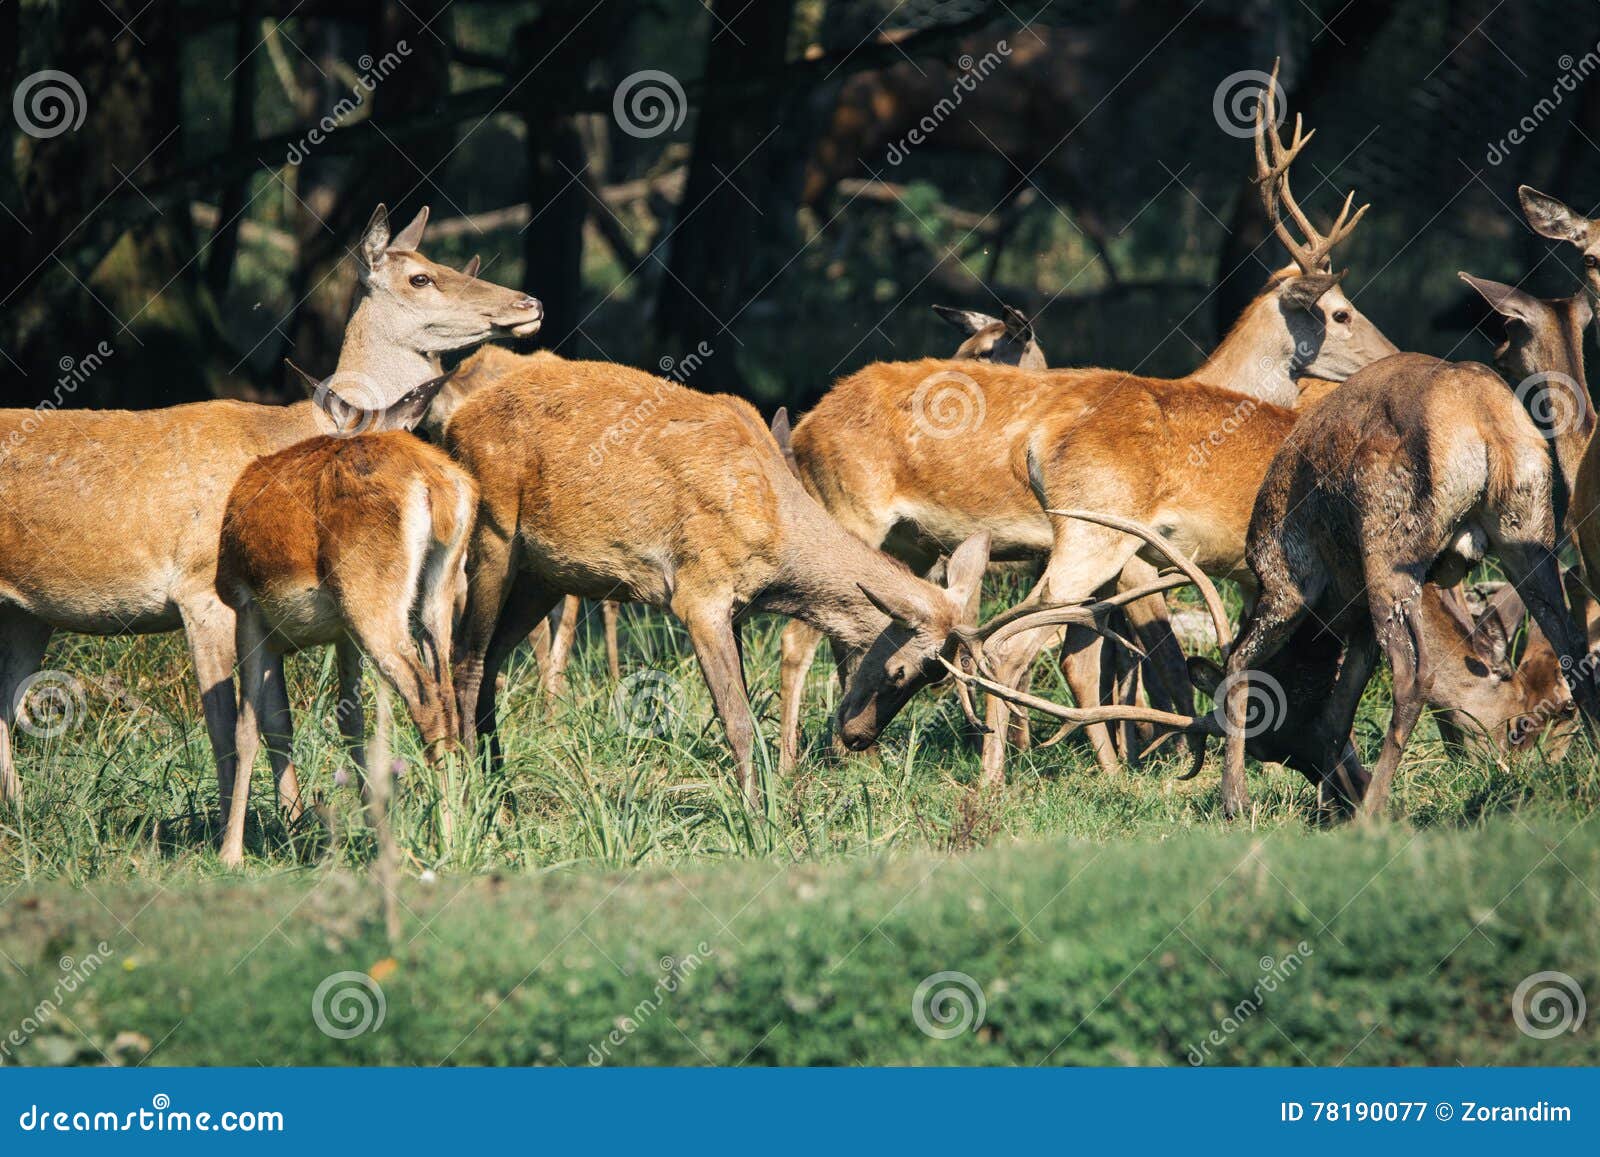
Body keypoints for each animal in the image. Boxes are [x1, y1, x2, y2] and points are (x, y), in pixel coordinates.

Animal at [215, 377, 476, 866]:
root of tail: (435, 484)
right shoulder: (341, 634)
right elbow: (346, 722)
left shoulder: (245, 609)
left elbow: (248, 729)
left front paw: (230, 853)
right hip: (436, 596)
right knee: (449, 699)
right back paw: (454, 832)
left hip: (370, 599)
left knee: (426, 702)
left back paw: (444, 843)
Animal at [439, 355, 990, 808]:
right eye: (900, 672)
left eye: (933, 679)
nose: (857, 736)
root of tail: (452, 425)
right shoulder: (697, 593)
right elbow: (738, 720)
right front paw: (758, 818)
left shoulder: (738, 608)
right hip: (493, 536)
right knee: (465, 656)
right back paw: (472, 792)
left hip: (544, 574)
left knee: (492, 660)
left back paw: (503, 789)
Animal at [779, 64, 1396, 781]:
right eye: (1341, 311)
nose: (1393, 357)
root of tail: (804, 426)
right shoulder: (1168, 562)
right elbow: (1162, 661)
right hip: (912, 520)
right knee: (813, 632)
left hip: (921, 543)